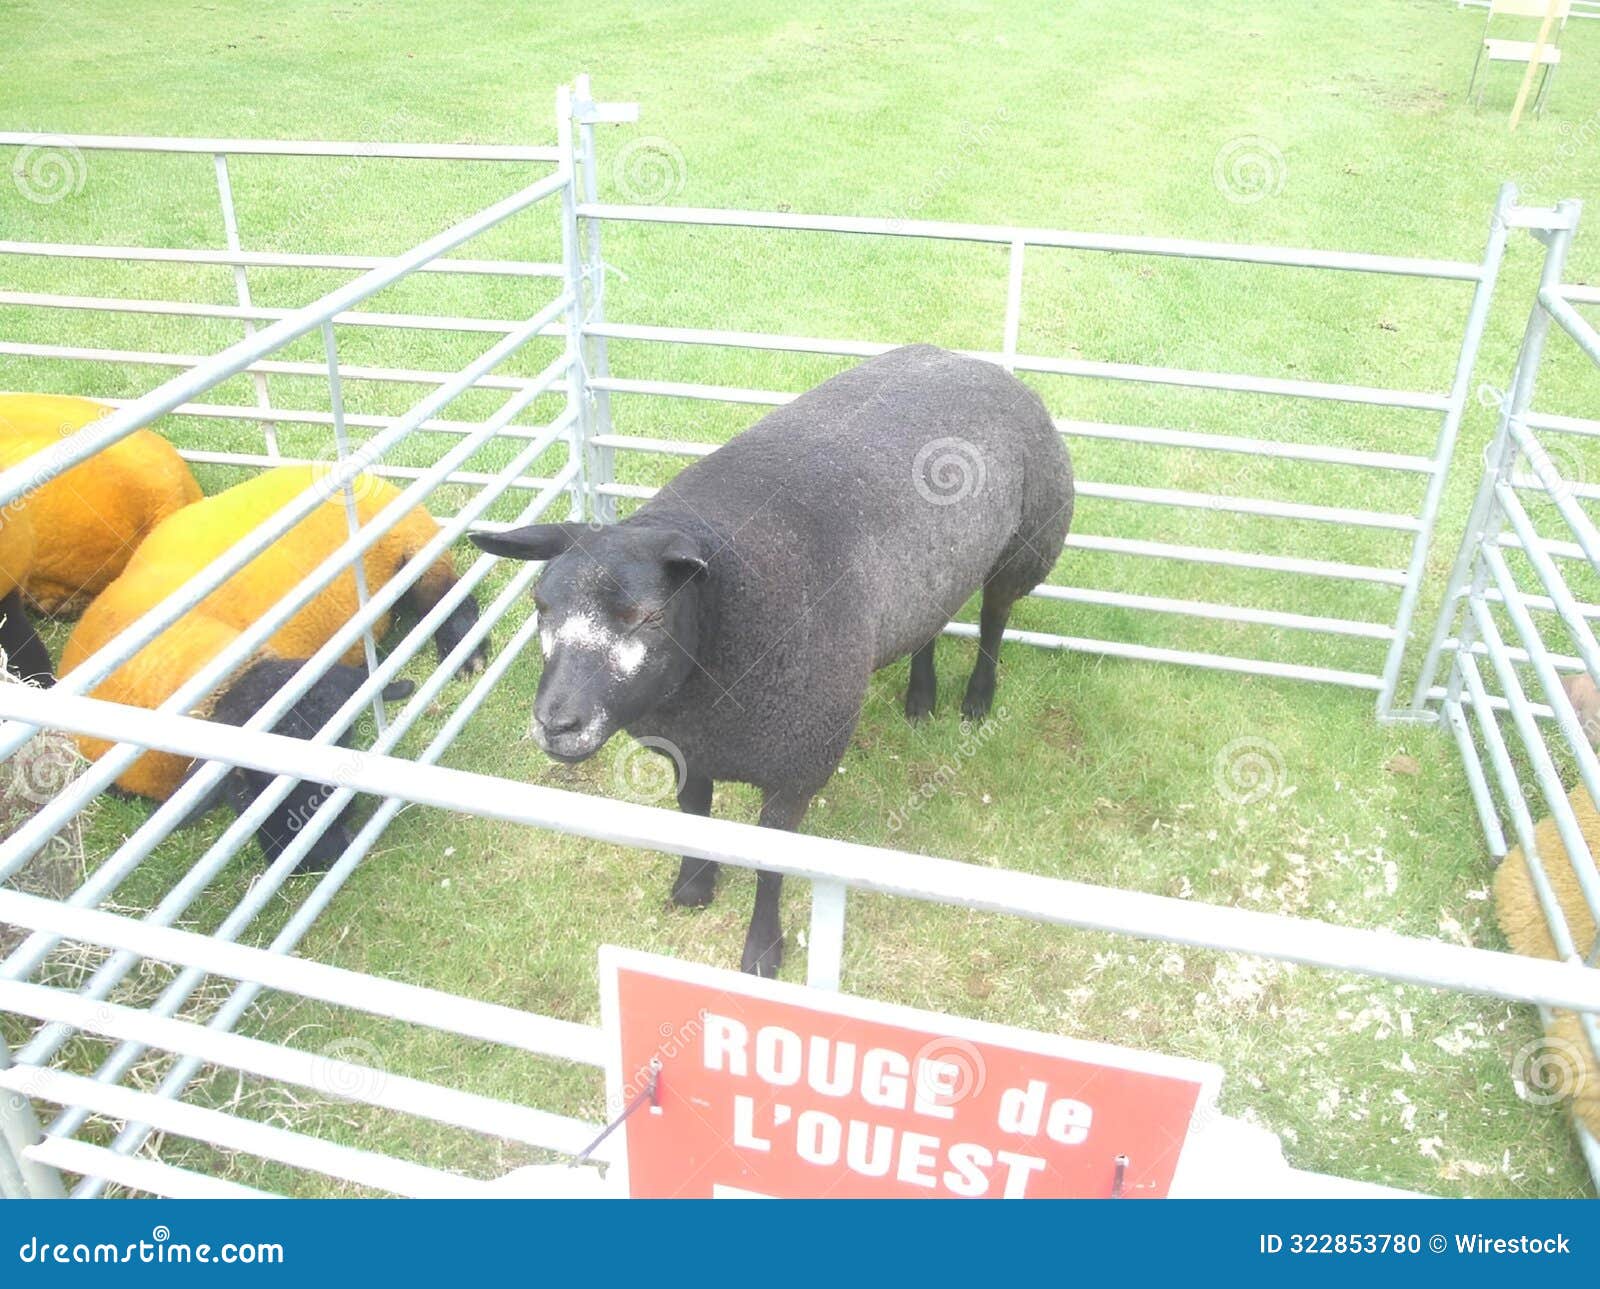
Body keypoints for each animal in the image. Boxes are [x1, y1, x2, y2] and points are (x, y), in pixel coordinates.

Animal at [61, 465, 486, 862]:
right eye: (241, 785)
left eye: (344, 744)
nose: (320, 857)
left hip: (418, 551)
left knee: (449, 596)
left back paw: (468, 655)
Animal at [472, 344, 1073, 976]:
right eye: (540, 605)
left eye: (649, 617)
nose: (557, 724)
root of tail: (966, 359)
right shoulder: (691, 745)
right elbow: (694, 816)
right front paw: (694, 887)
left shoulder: (798, 763)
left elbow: (770, 866)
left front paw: (763, 951)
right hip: (935, 572)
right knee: (931, 623)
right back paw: (920, 698)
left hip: (1028, 540)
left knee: (995, 617)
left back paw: (977, 700)